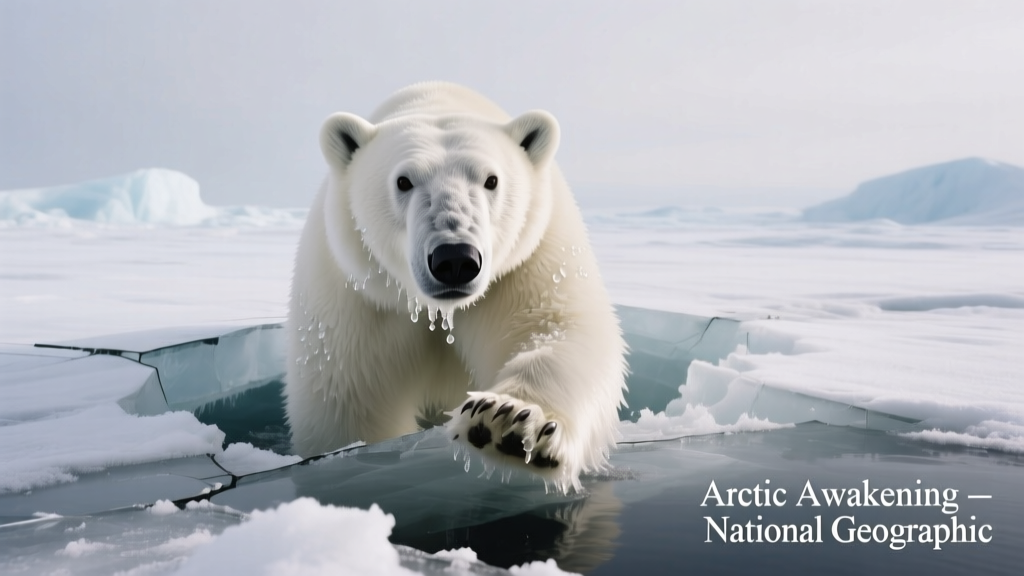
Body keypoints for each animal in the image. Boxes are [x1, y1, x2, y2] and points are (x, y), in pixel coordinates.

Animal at [285, 82, 627, 492]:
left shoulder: (531, 261)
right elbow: (349, 397)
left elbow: (561, 329)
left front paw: (509, 424)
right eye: (403, 181)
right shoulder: (360, 295)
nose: (455, 259)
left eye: (491, 180)